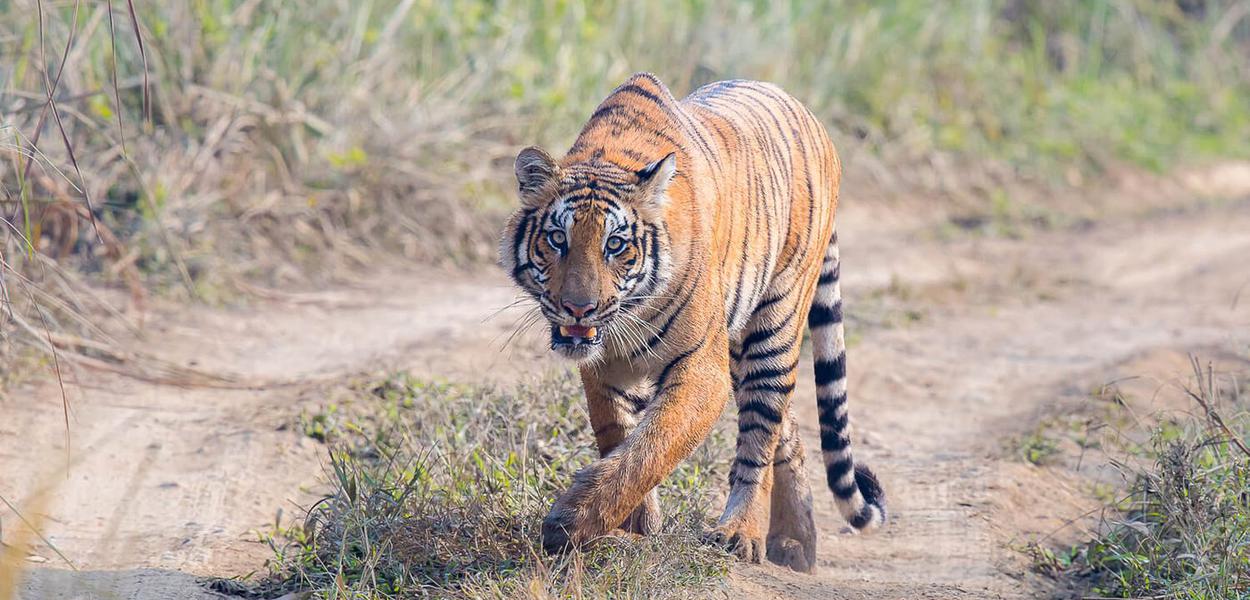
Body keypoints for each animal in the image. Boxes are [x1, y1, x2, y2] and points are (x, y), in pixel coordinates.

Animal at [499, 72, 886, 572]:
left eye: (615, 245)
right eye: (556, 239)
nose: (578, 308)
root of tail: (813, 119)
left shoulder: (703, 370)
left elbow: (651, 448)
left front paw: (571, 523)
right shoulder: (605, 368)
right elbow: (618, 437)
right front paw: (633, 528)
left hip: (774, 324)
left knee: (761, 436)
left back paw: (742, 533)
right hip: (738, 343)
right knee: (788, 426)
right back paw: (796, 542)